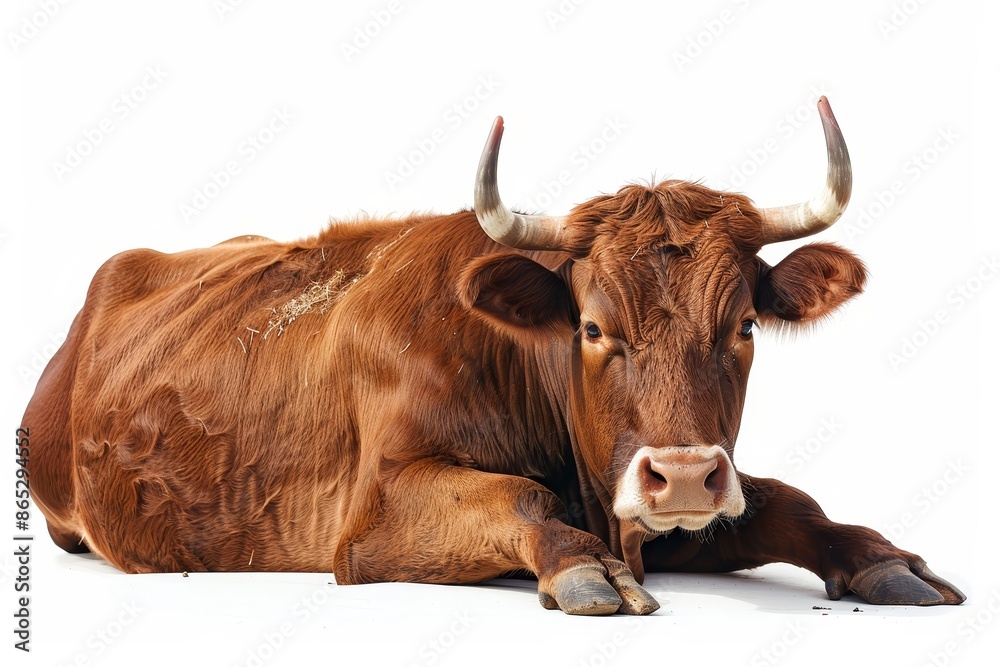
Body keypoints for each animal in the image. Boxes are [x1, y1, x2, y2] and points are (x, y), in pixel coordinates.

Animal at [22, 97, 964, 615]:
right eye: (592, 328)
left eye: (744, 327)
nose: (686, 479)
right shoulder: (372, 518)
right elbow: (518, 497)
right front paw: (583, 566)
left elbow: (791, 499)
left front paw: (883, 558)